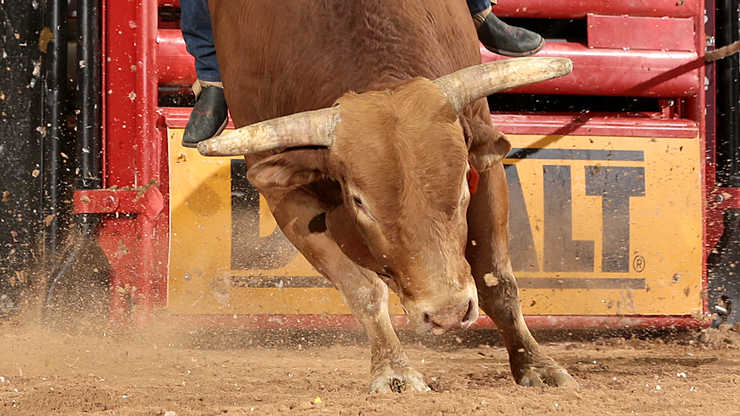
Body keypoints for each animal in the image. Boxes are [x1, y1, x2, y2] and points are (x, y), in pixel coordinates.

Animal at [198, 0, 576, 392]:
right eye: (359, 201)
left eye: (460, 187)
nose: (448, 314)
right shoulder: (284, 195)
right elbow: (363, 290)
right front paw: (395, 369)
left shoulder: (484, 163)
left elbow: (496, 281)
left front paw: (536, 364)